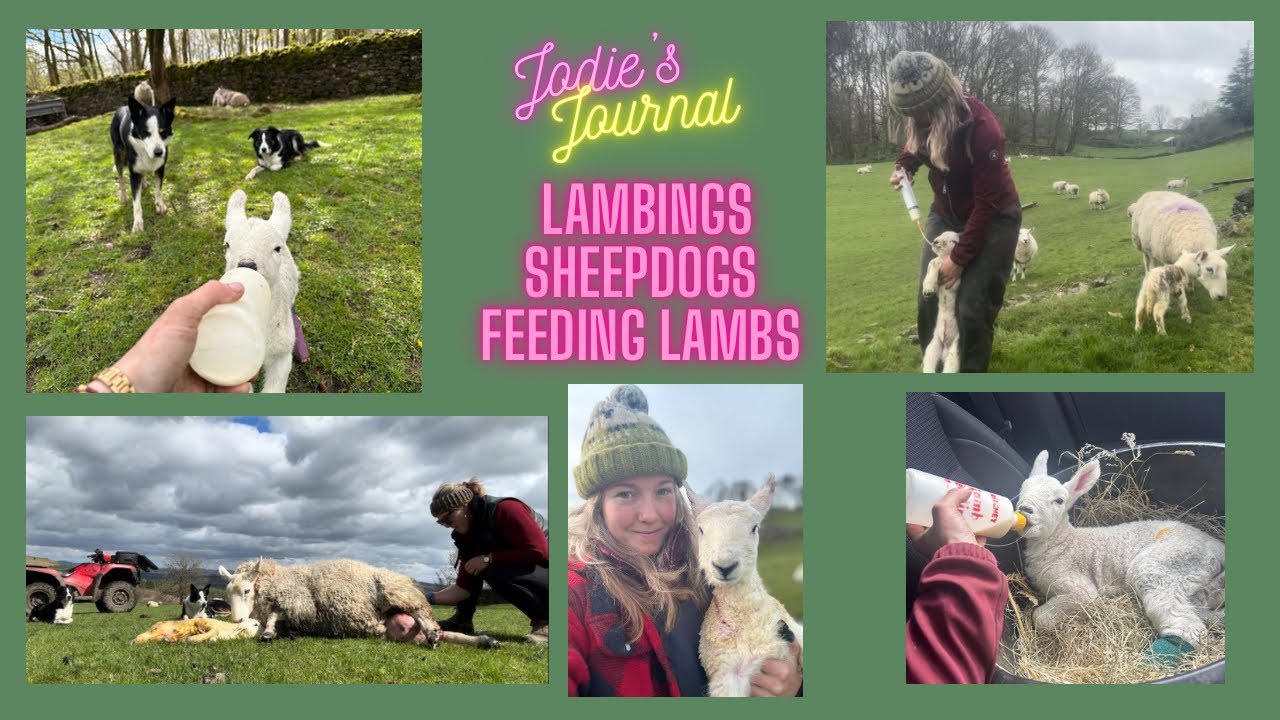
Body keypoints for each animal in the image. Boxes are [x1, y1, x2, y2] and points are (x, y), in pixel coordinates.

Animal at [218, 558, 501, 649]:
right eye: (227, 594)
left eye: (246, 590)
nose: (237, 620)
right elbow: (277, 620)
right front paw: (271, 632)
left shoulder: (298, 602)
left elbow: (275, 615)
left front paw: (267, 632)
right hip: (396, 627)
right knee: (443, 632)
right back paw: (485, 641)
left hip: (395, 590)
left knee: (421, 613)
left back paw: (432, 633)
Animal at [1016, 451, 1224, 648]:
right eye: (1022, 489)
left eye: (1059, 500)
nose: (1025, 509)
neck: (1063, 543)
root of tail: (1217, 545)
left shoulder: (1079, 589)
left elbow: (1040, 617)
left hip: (1164, 564)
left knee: (1189, 628)